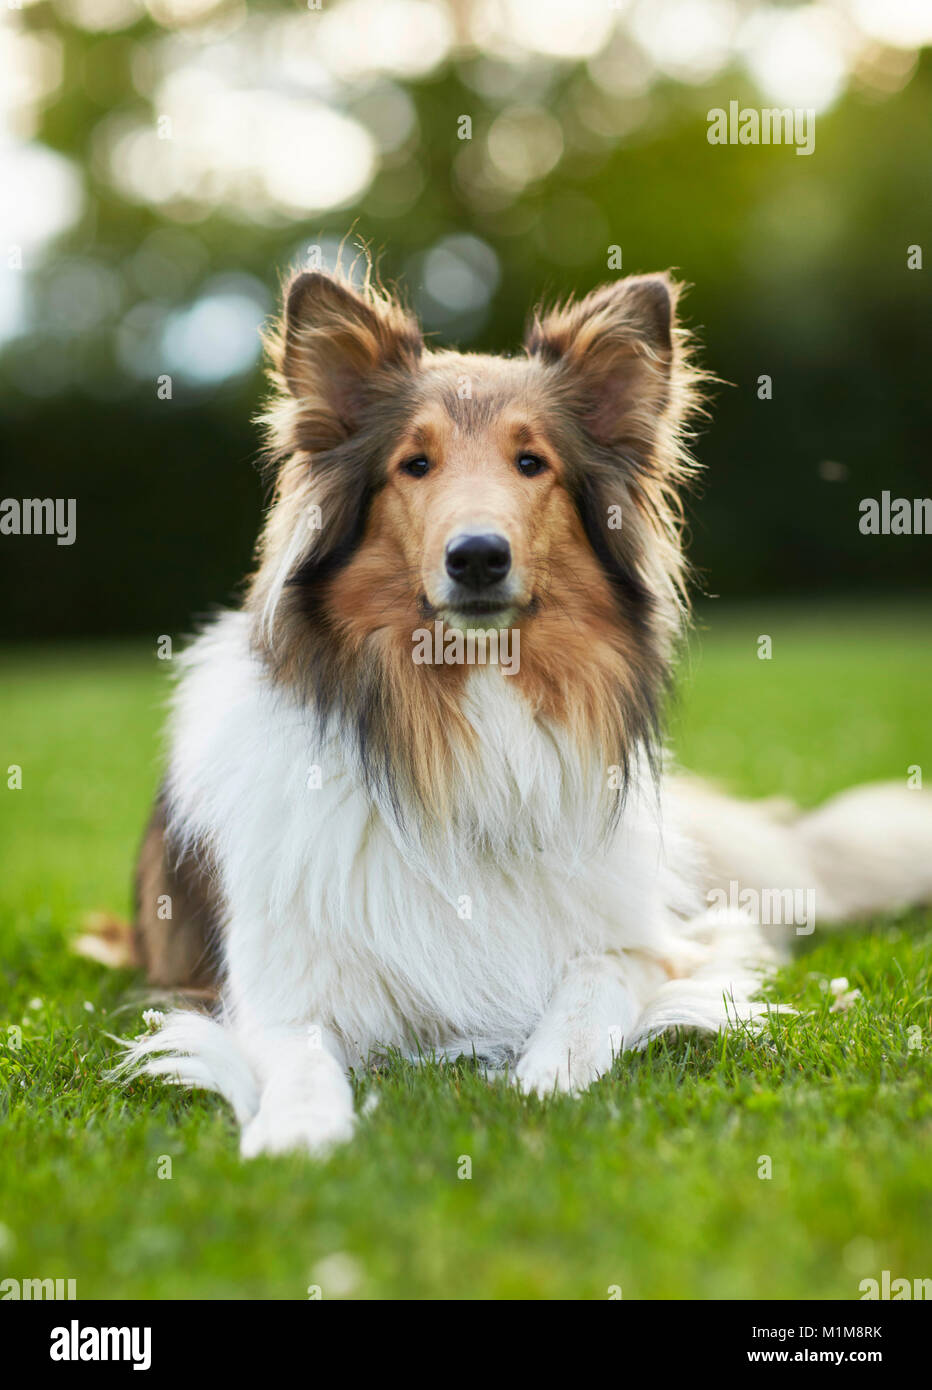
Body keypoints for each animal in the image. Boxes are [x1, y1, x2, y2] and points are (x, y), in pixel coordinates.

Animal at [122, 265, 932, 1156]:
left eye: (530, 461)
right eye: (415, 464)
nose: (478, 557)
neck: (473, 719)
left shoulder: (656, 941)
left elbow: (595, 981)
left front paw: (548, 1076)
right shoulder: (271, 988)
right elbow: (299, 1053)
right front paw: (300, 1131)